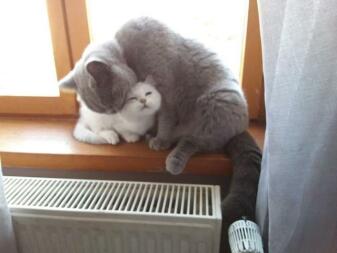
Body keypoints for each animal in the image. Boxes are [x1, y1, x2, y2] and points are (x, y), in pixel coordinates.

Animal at [59, 17, 247, 174]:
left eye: (112, 102)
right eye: (102, 110)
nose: (113, 113)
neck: (126, 53)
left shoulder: (166, 89)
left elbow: (166, 117)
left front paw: (161, 139)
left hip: (216, 103)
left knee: (196, 141)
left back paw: (172, 158)